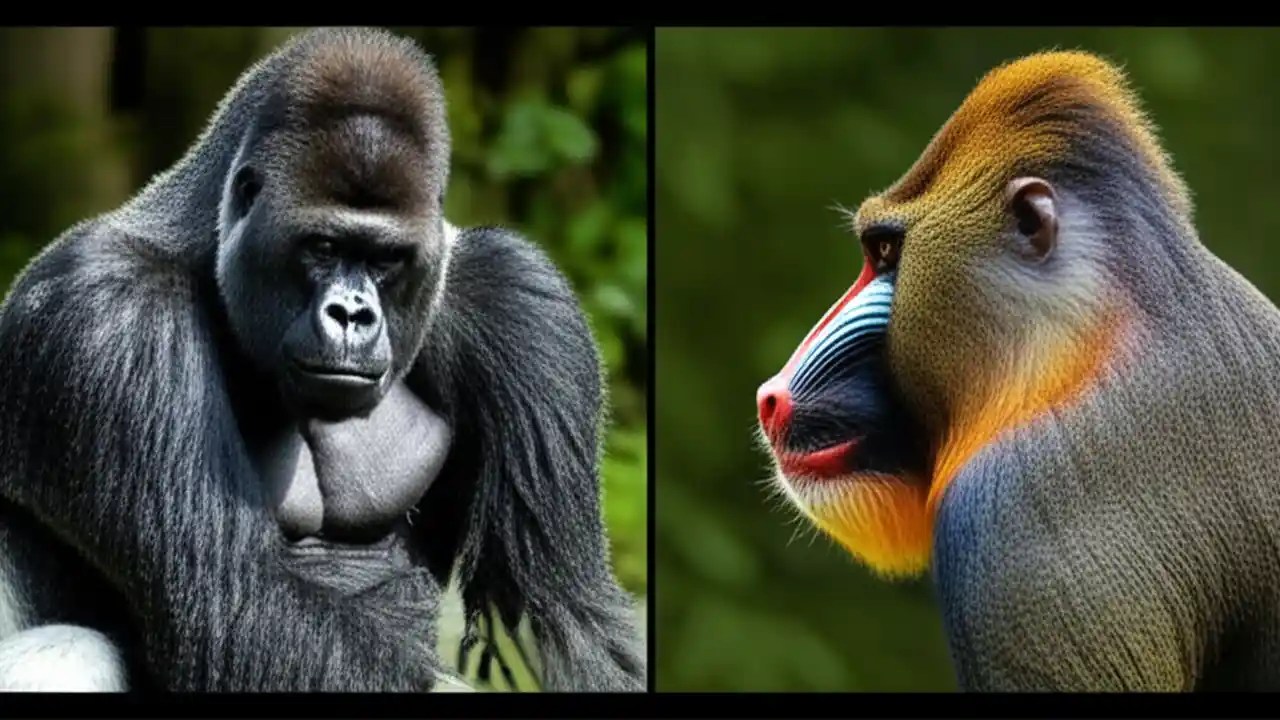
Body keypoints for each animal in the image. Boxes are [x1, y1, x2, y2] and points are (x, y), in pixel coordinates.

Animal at [0, 27, 644, 692]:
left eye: (386, 259)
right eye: (324, 246)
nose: (351, 315)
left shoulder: (520, 301)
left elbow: (564, 617)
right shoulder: (107, 313)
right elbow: (237, 606)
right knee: (69, 651)